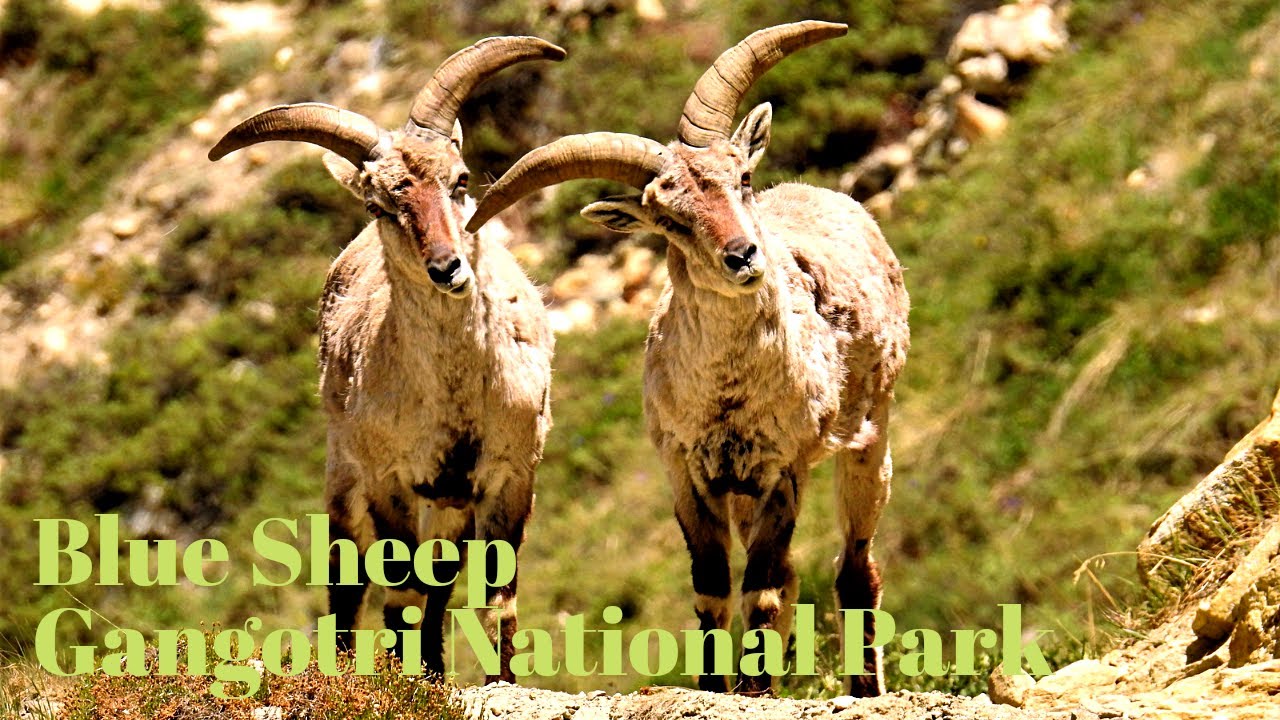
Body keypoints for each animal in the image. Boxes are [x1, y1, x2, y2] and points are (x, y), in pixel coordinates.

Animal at [208, 36, 564, 683]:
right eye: (381, 205)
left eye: (460, 179)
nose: (447, 268)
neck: (456, 397)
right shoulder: (389, 478)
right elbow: (397, 589)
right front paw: (397, 683)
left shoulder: (511, 473)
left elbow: (497, 599)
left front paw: (500, 681)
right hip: (345, 472)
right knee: (349, 575)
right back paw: (351, 668)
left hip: (449, 502)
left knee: (439, 582)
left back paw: (434, 670)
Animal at [465, 21, 910, 696]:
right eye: (669, 220)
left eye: (741, 179)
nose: (743, 255)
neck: (728, 393)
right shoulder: (686, 467)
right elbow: (712, 586)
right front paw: (714, 684)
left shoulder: (783, 465)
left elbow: (760, 588)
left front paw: (755, 690)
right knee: (798, 576)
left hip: (869, 433)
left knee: (855, 567)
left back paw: (863, 685)